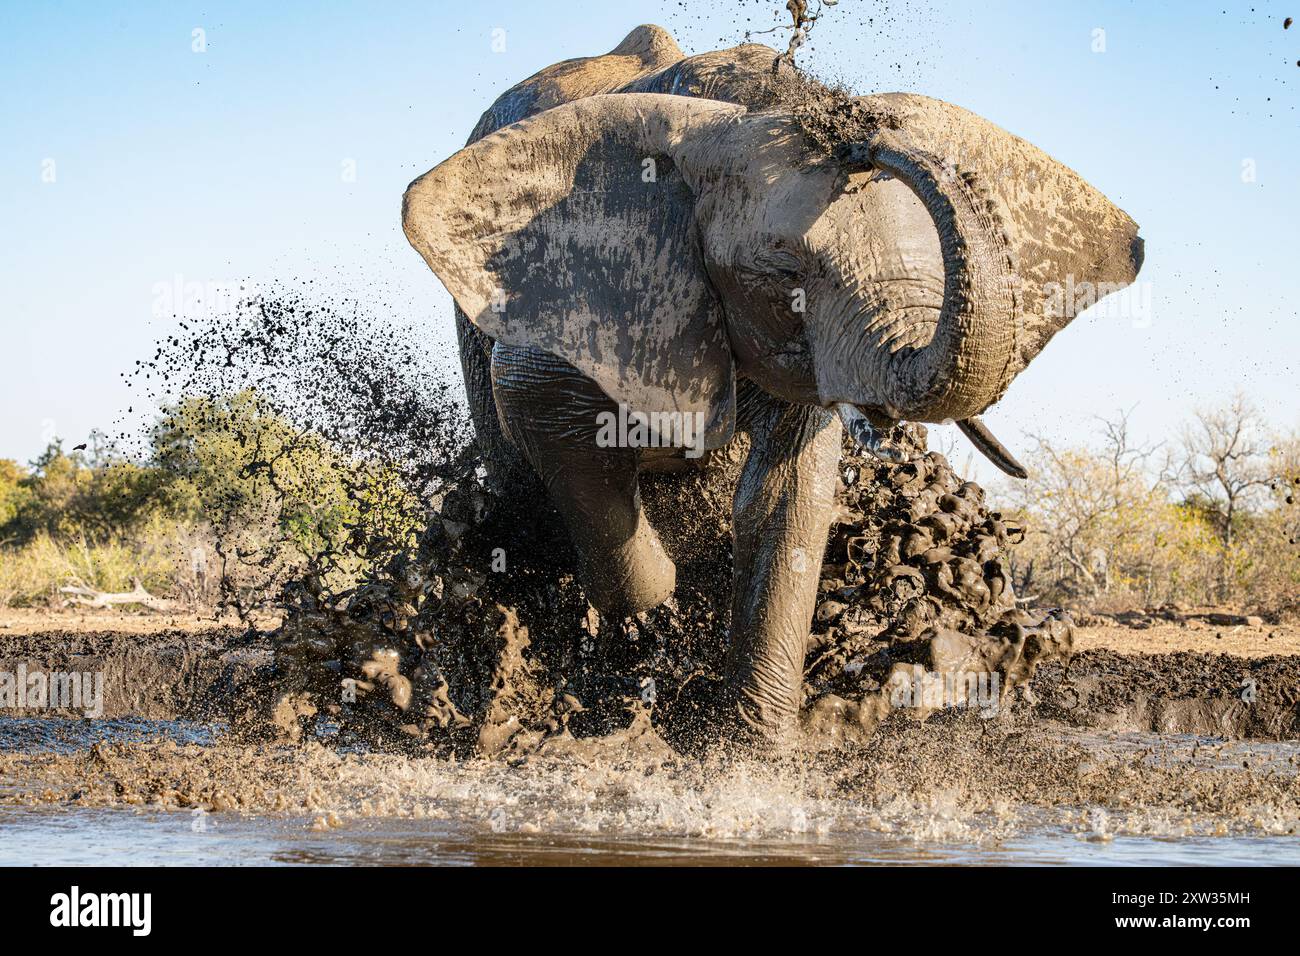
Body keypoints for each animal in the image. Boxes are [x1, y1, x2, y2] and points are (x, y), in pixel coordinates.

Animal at [402, 24, 1143, 743]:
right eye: (786, 275)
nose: (861, 132)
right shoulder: (574, 283)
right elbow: (532, 395)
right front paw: (663, 606)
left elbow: (787, 498)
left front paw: (754, 751)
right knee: (522, 494)